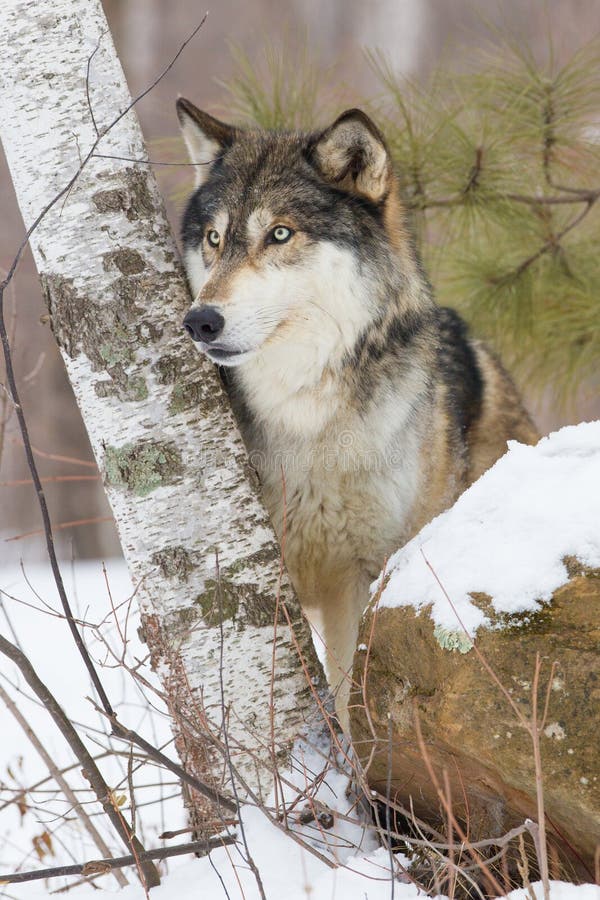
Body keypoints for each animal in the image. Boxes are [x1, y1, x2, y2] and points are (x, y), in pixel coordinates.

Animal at [176, 98, 539, 726]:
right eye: (215, 239)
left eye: (279, 233)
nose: (200, 321)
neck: (302, 414)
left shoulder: (360, 576)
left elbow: (351, 697)